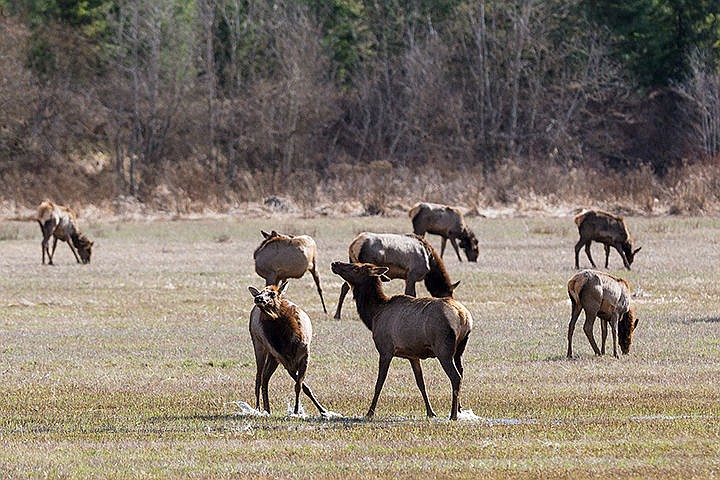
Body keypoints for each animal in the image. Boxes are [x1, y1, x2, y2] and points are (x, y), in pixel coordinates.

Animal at [248, 281, 328, 415]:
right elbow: (301, 385)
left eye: (272, 294)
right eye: (261, 292)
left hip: (272, 356)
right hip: (259, 345)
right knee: (259, 378)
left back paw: (267, 409)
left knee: (265, 378)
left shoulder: (304, 356)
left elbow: (301, 386)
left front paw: (322, 410)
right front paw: (296, 411)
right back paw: (258, 408)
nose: (258, 298)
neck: (289, 341)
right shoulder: (286, 362)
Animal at [331, 261, 473, 420]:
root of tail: (463, 317)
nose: (335, 263)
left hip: (444, 349)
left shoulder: (385, 349)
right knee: (461, 373)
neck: (373, 315)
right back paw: (459, 409)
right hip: (459, 349)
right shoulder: (412, 355)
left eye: (356, 267)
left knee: (455, 377)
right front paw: (430, 412)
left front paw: (369, 413)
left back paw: (453, 415)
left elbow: (379, 383)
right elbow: (420, 383)